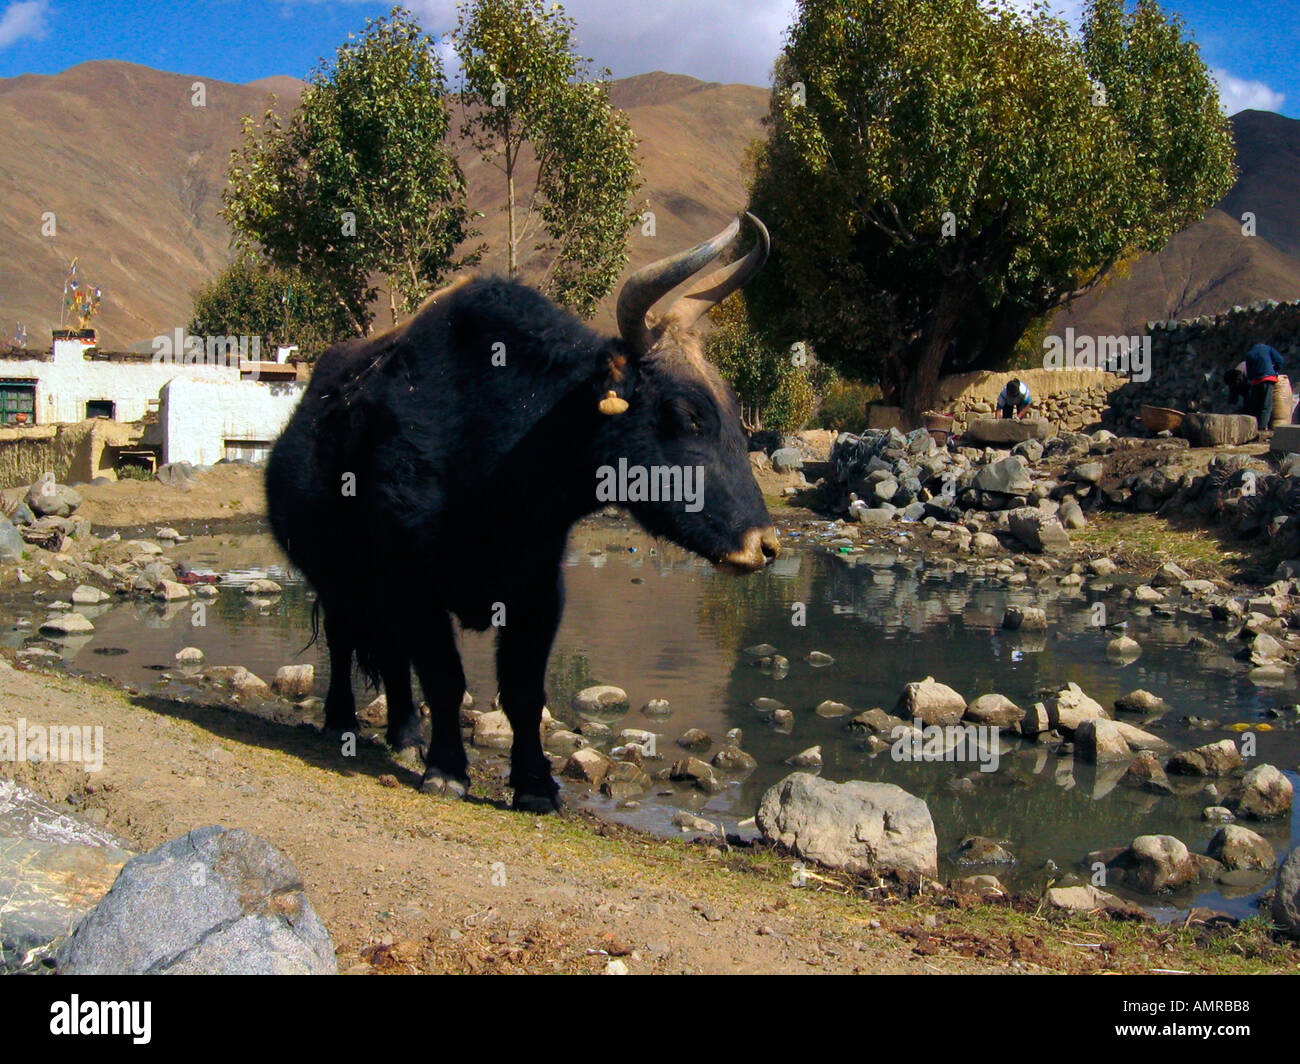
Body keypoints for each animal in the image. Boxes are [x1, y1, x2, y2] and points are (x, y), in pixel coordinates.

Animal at [266, 213, 779, 811]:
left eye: (732, 407)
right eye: (688, 413)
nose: (765, 544)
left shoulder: (537, 588)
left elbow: (524, 691)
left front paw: (534, 784)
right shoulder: (414, 581)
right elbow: (444, 676)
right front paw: (448, 771)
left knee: (389, 656)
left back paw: (406, 735)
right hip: (335, 581)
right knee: (346, 641)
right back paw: (344, 721)